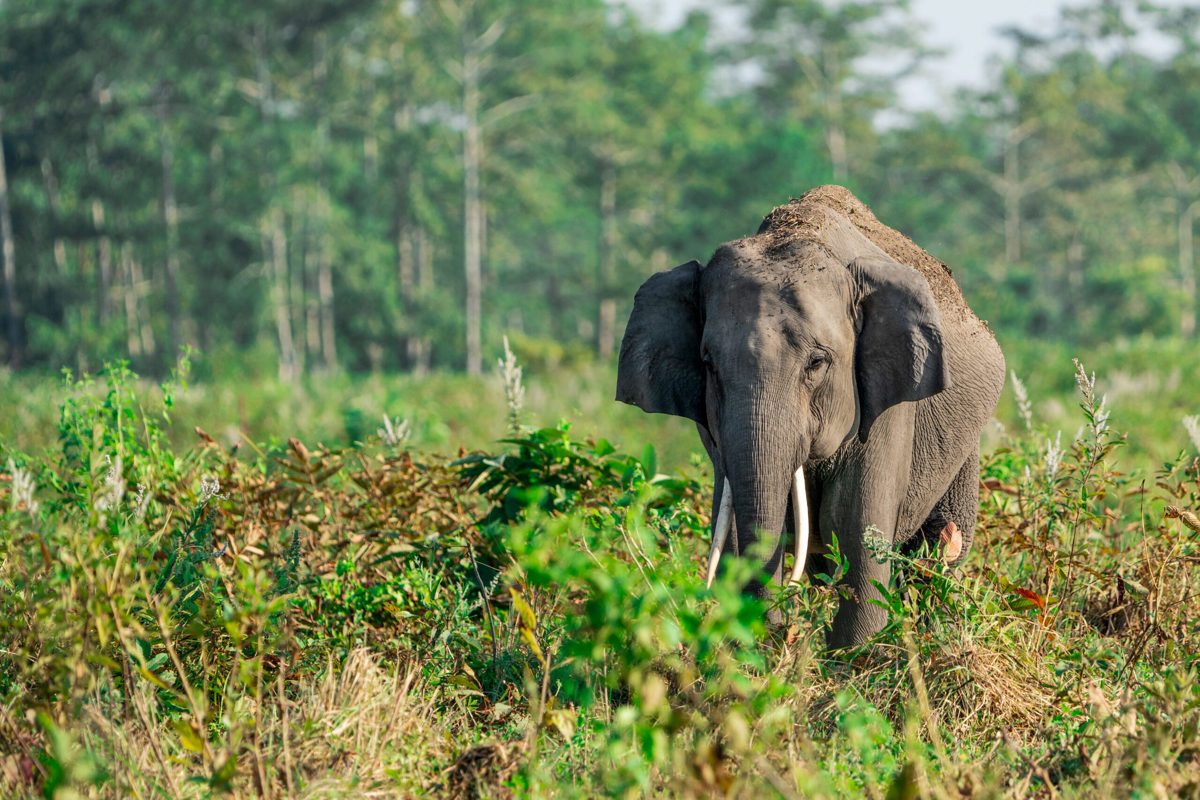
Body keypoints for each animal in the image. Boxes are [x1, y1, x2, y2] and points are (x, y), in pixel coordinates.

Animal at [615, 185, 1005, 649]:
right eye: (708, 364)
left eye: (817, 363)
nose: (774, 632)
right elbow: (733, 530)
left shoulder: (885, 404)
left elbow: (856, 526)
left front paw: (855, 659)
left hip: (964, 451)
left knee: (938, 552)